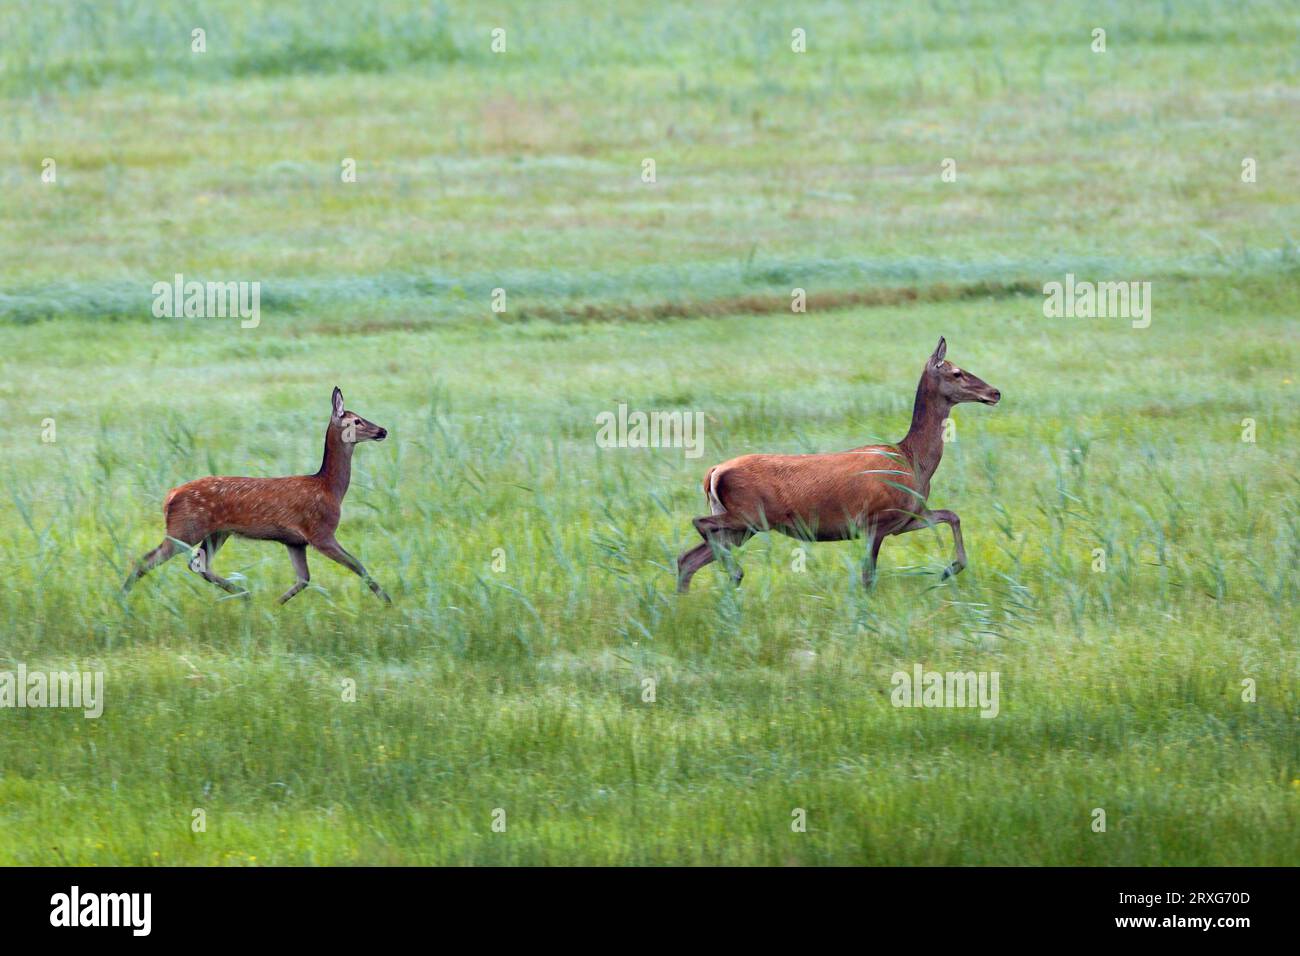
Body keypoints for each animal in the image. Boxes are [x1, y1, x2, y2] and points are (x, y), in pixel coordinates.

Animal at [123, 387, 393, 604]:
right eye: (357, 421)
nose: (383, 430)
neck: (329, 487)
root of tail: (170, 496)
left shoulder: (294, 541)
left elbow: (304, 578)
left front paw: (276, 605)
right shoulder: (320, 532)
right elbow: (358, 565)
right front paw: (386, 600)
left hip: (217, 531)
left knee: (197, 564)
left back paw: (244, 594)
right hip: (186, 527)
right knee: (147, 559)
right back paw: (122, 598)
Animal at [676, 337, 1000, 593]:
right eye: (957, 372)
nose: (995, 392)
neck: (912, 461)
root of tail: (712, 473)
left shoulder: (907, 516)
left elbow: (952, 515)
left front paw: (950, 568)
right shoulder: (875, 519)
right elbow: (869, 575)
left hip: (743, 526)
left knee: (687, 558)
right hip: (749, 515)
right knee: (698, 525)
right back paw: (733, 573)